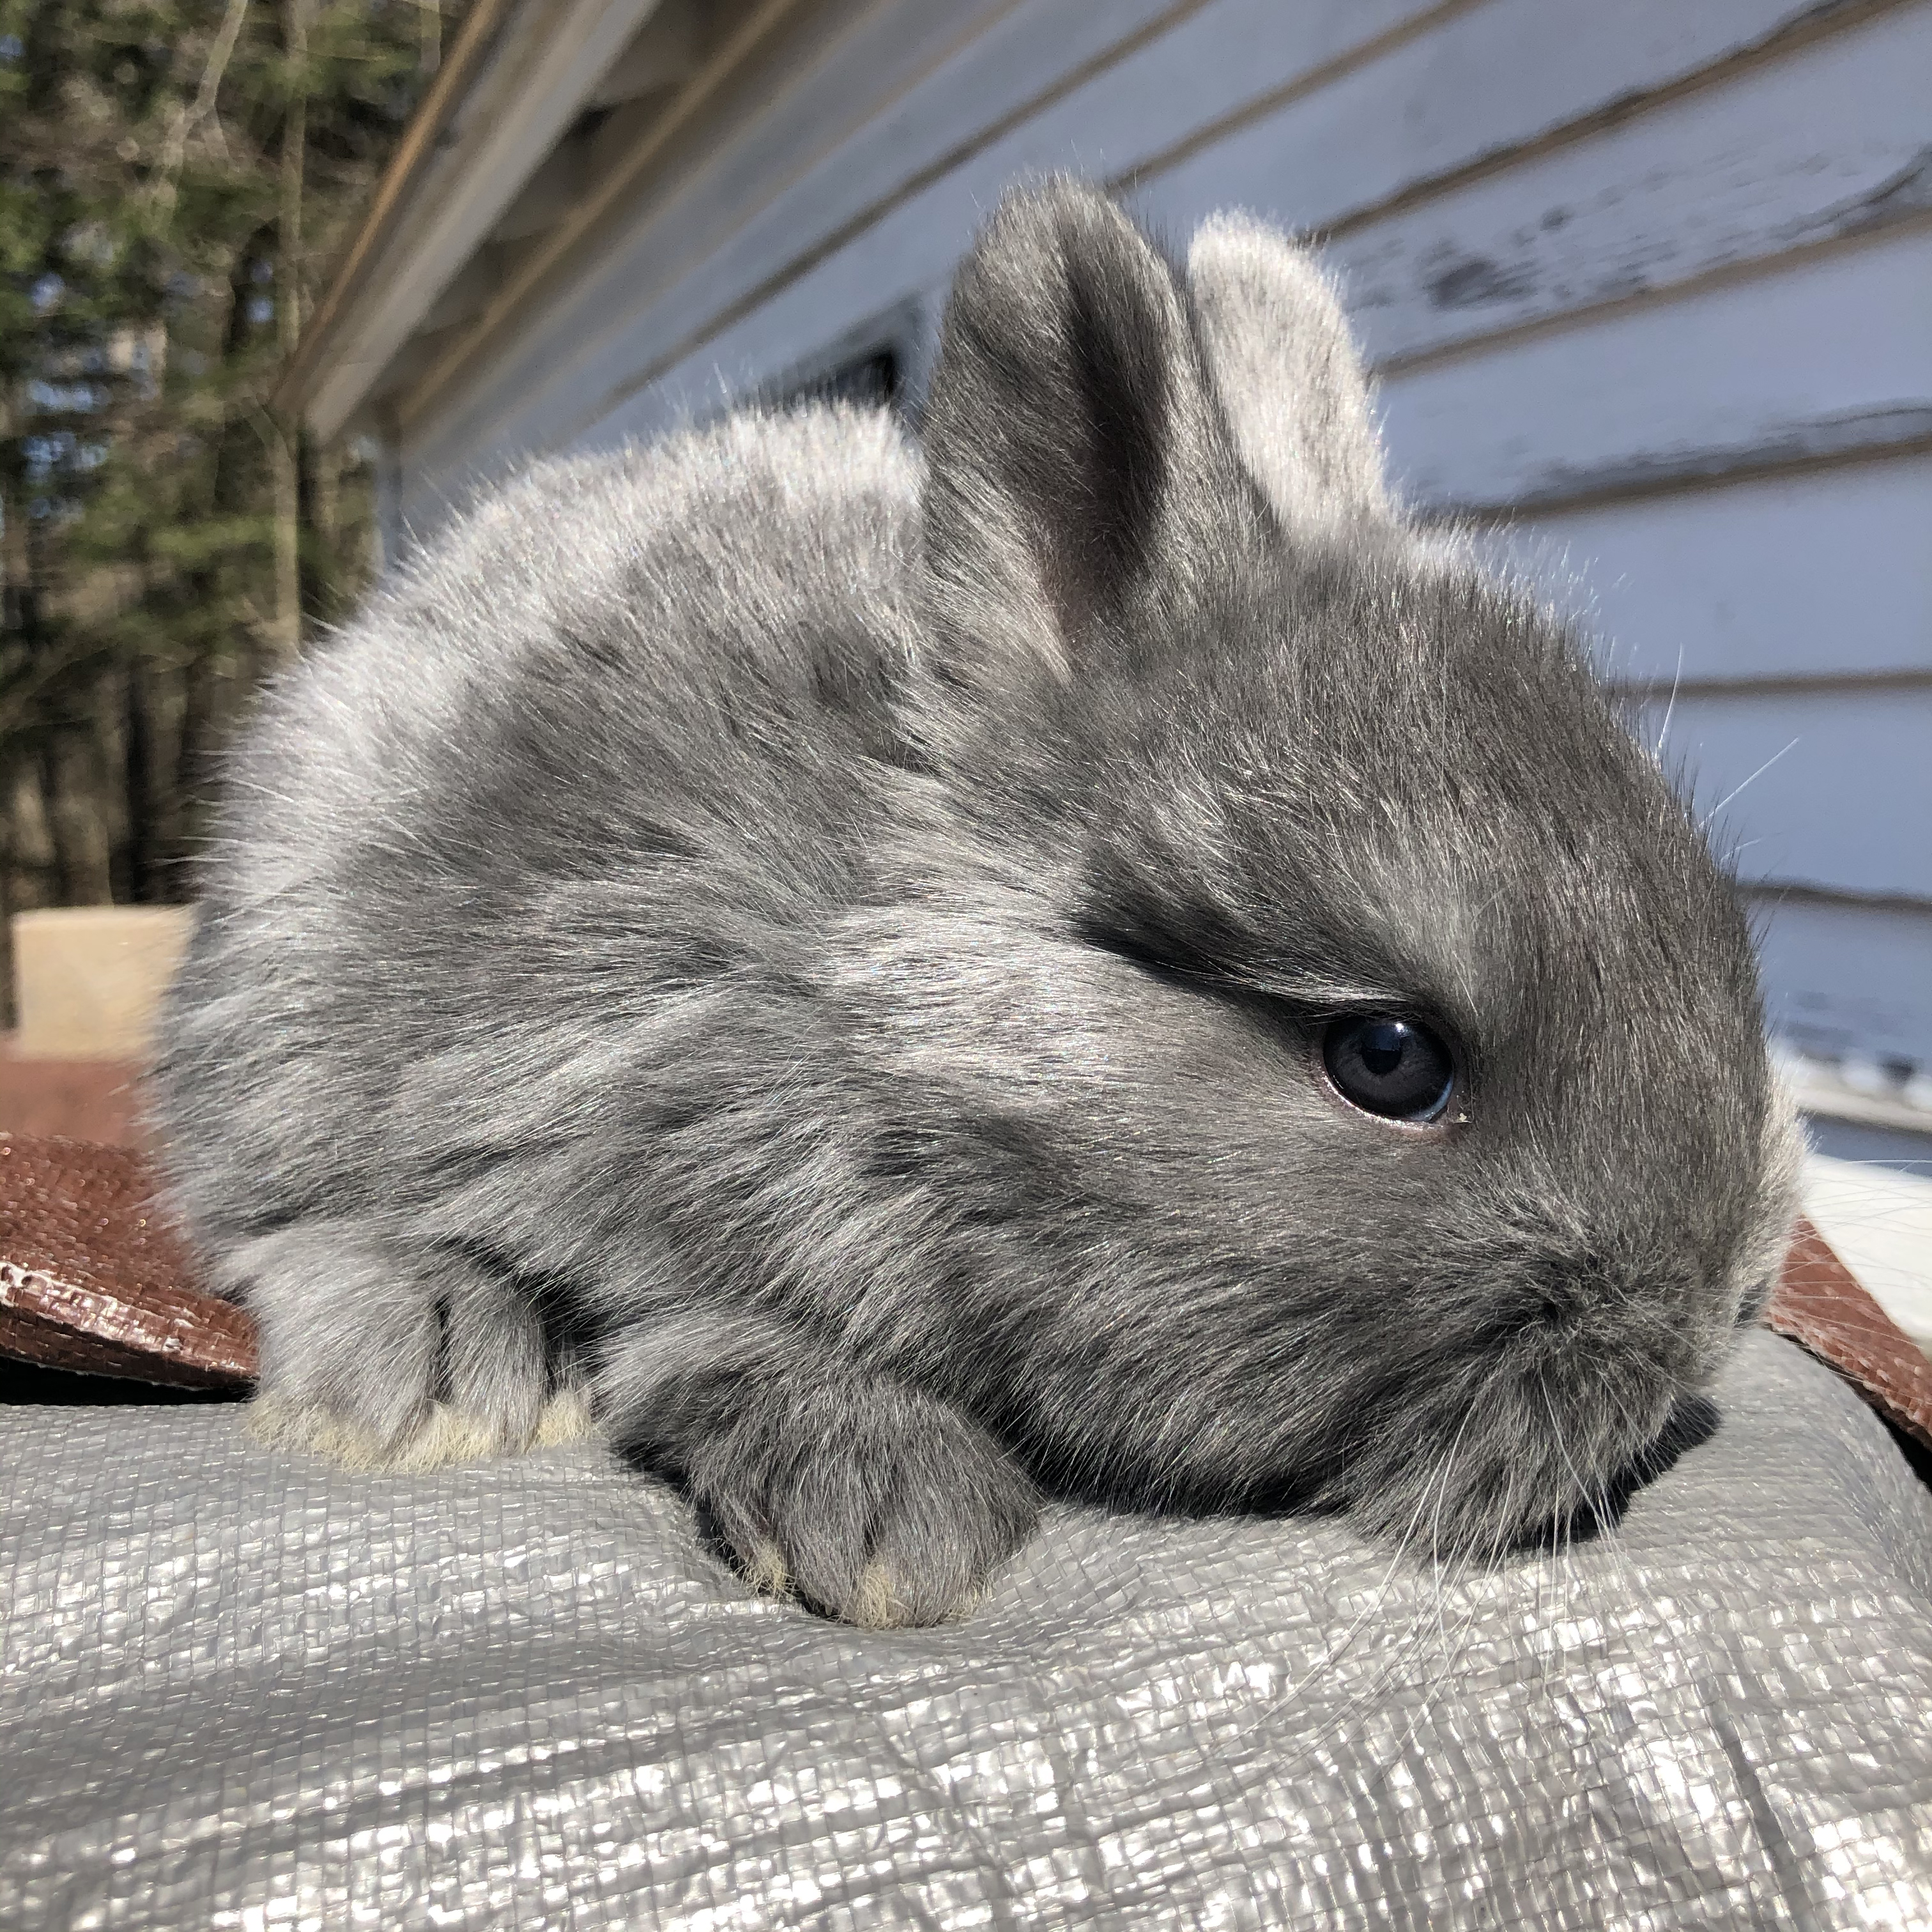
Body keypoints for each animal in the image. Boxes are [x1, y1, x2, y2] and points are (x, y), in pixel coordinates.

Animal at [152, 178, 1799, 1629]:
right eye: (1388, 1057)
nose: (1710, 1317)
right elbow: (685, 1317)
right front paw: (890, 1517)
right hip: (282, 982)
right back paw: (432, 1357)